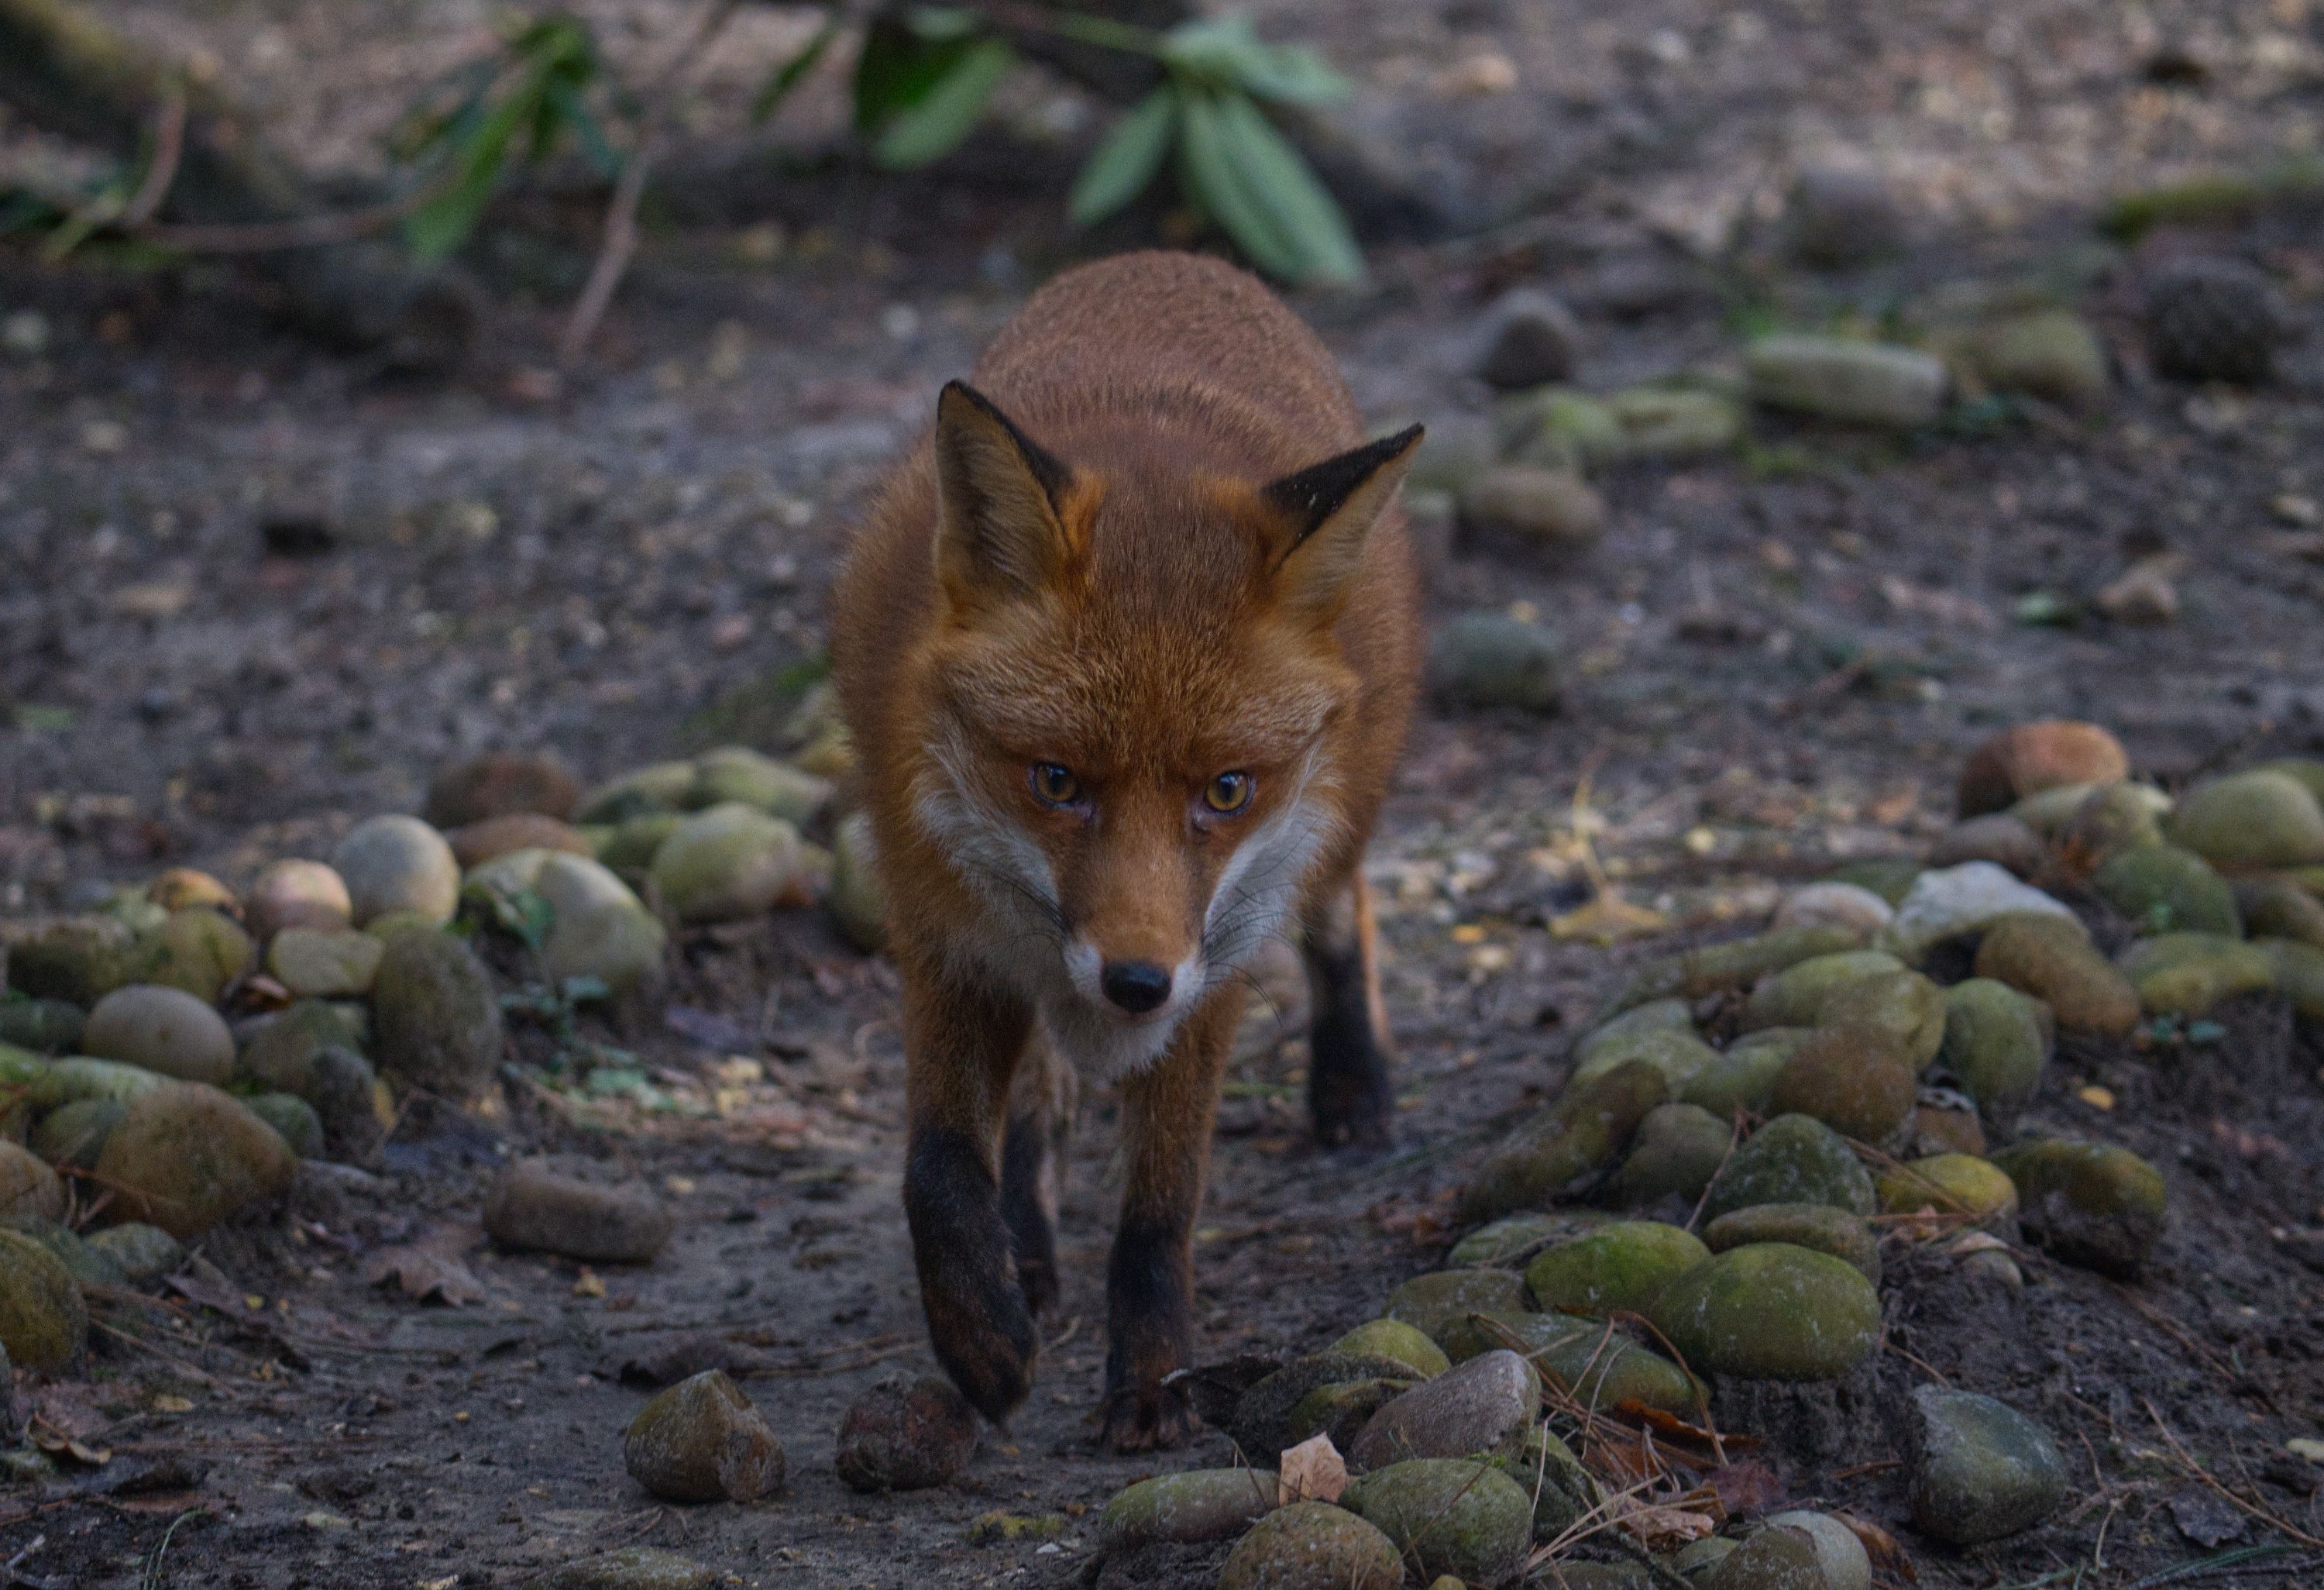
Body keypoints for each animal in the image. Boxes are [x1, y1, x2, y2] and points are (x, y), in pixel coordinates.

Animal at [829, 250, 1421, 1451]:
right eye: (1057, 781)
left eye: (1227, 791)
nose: (1137, 984)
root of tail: (1167, 259)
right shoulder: (944, 932)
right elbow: (938, 1169)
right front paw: (983, 1337)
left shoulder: (1215, 968)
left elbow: (1160, 1206)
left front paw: (1152, 1377)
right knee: (1031, 1105)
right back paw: (1028, 1248)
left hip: (1338, 828)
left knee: (1346, 913)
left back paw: (1352, 1080)